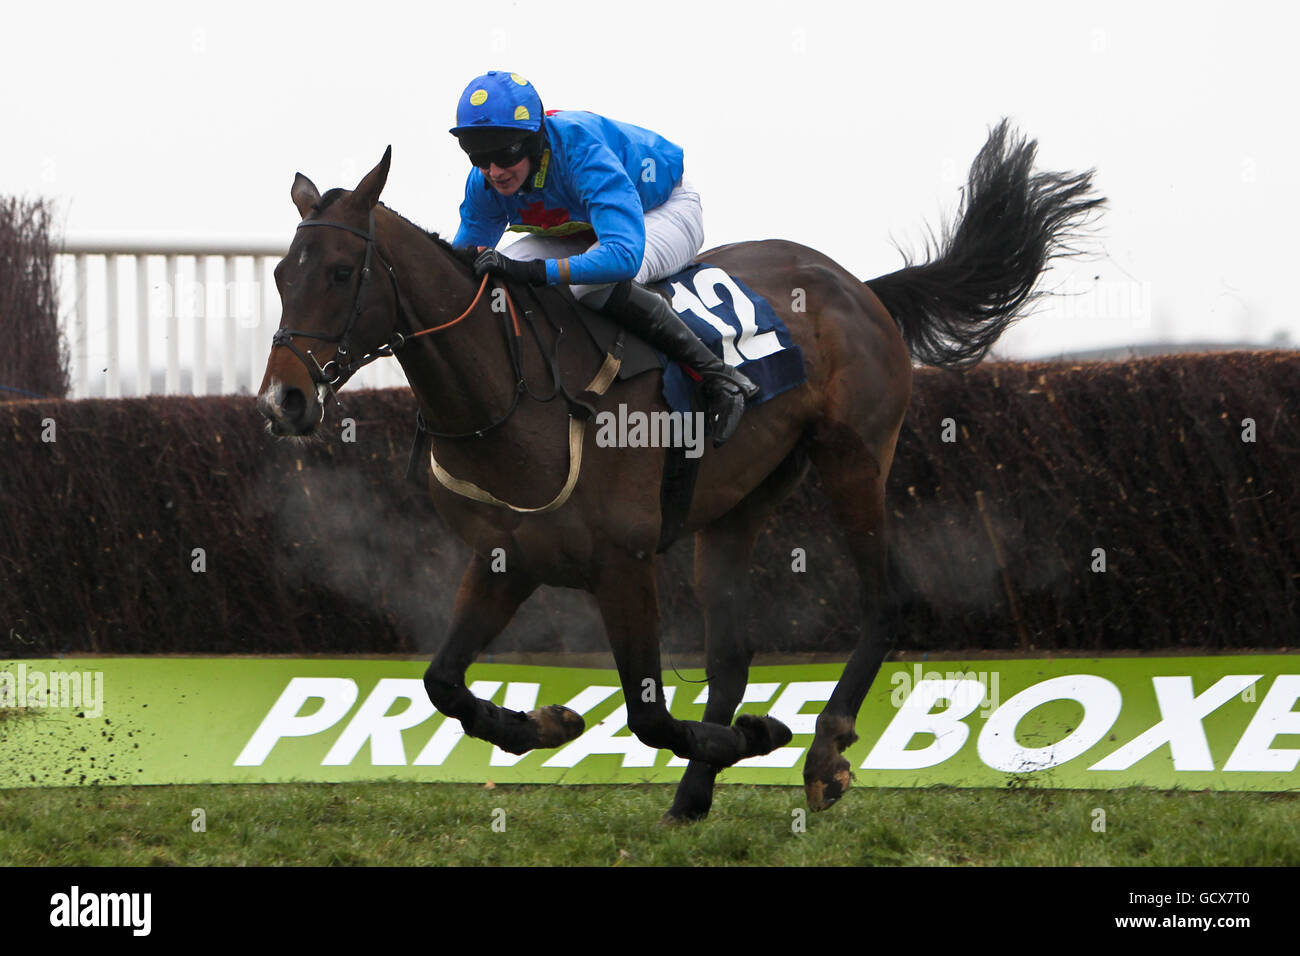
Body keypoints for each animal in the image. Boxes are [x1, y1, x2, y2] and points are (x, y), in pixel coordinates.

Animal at [256, 120, 1102, 822]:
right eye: (279, 277)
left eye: (340, 272)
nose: (283, 400)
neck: (513, 391)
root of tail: (858, 286)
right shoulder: (505, 559)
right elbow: (442, 683)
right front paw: (546, 721)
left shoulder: (623, 563)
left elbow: (649, 714)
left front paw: (758, 736)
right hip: (738, 504)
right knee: (731, 656)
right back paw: (692, 800)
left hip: (856, 458)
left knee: (884, 599)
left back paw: (823, 752)